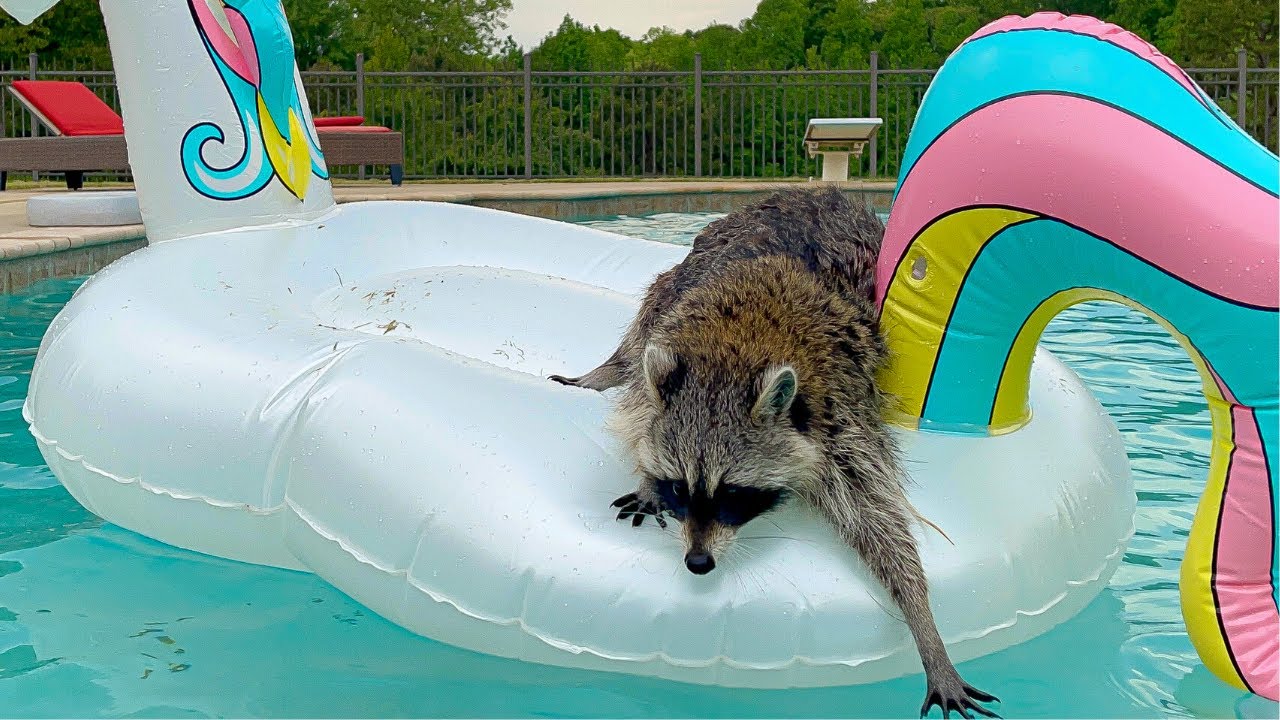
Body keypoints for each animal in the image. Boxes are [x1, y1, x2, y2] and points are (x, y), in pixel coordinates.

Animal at [552, 186, 998, 719]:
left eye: (732, 493)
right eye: (680, 487)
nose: (697, 563)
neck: (732, 353)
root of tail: (810, 191)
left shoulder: (841, 424)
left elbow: (880, 522)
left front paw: (922, 618)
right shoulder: (667, 354)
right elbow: (639, 406)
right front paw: (645, 475)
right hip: (681, 275)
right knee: (644, 321)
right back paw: (605, 369)